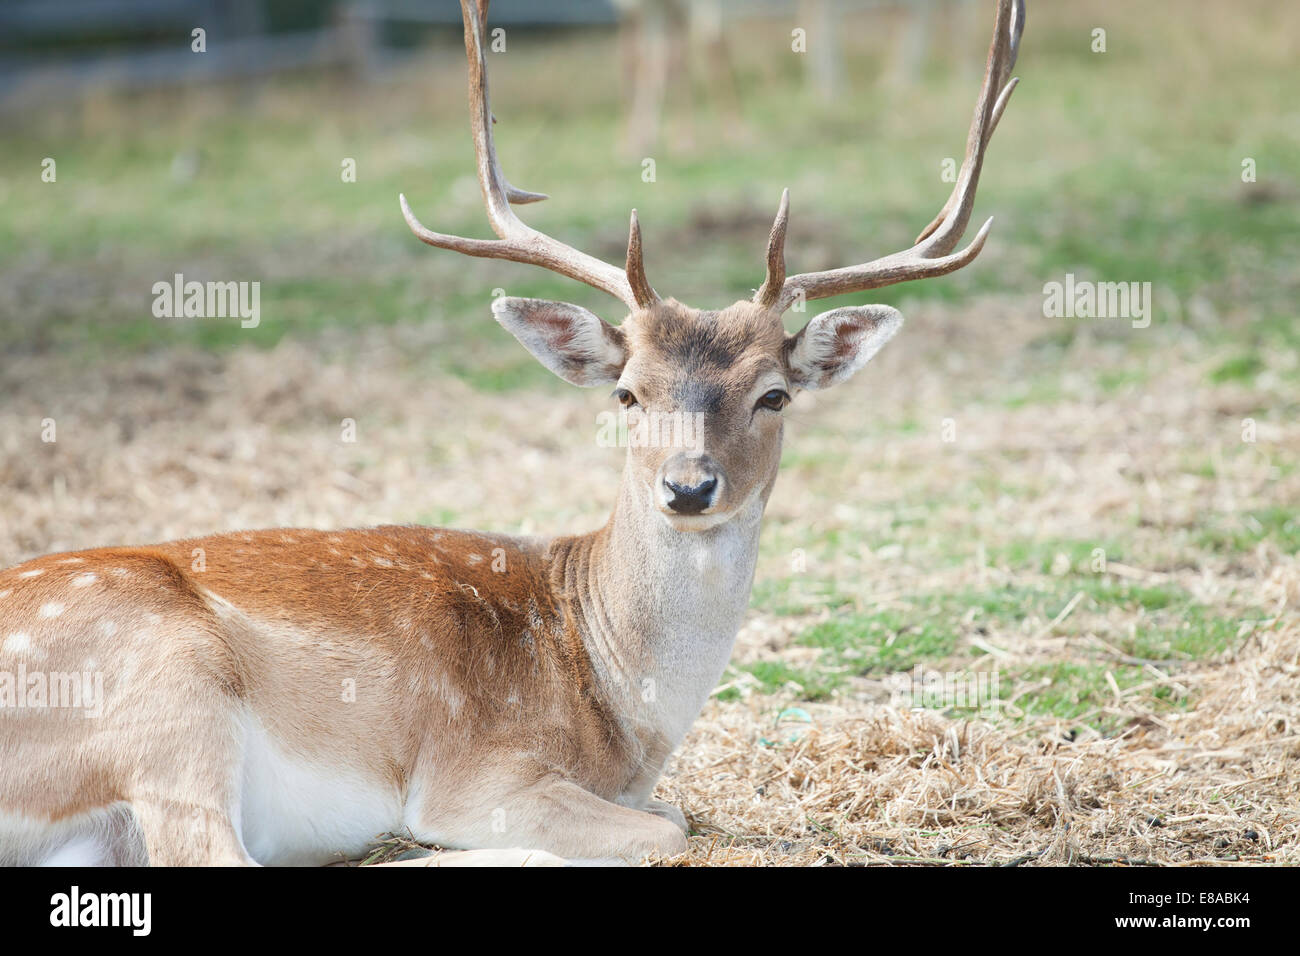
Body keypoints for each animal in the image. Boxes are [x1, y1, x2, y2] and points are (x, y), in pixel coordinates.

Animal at [0, 0, 1022, 867]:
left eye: (774, 396)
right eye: (627, 393)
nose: (689, 486)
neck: (616, 702)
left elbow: (672, 811)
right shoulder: (478, 767)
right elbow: (668, 823)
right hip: (167, 686)